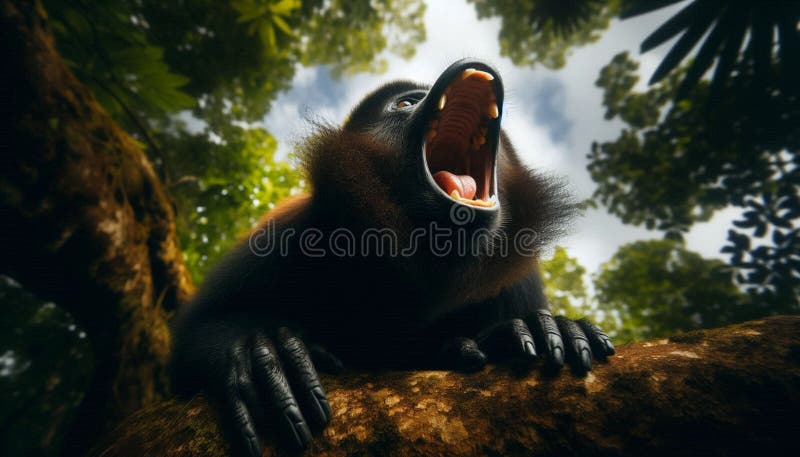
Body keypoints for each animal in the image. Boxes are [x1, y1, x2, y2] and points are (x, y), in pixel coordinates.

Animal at [170, 59, 615, 457]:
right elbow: (185, 351)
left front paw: (542, 329)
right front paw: (259, 350)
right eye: (405, 104)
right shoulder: (290, 233)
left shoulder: (517, 276)